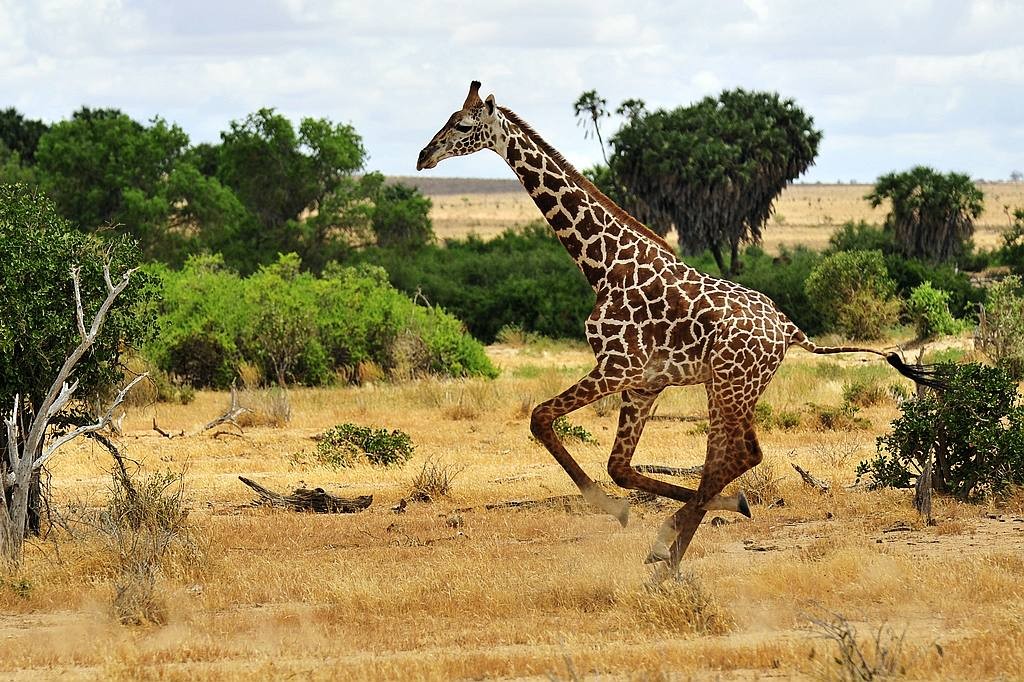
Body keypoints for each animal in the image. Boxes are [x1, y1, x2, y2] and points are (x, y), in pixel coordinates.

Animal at [416, 81, 943, 569]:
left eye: (463, 125)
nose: (424, 156)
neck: (603, 265)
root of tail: (791, 332)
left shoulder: (617, 367)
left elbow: (541, 418)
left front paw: (620, 511)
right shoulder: (644, 384)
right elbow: (619, 467)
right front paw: (644, 511)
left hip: (732, 385)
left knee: (743, 454)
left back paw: (670, 544)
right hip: (725, 387)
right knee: (725, 457)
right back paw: (681, 542)